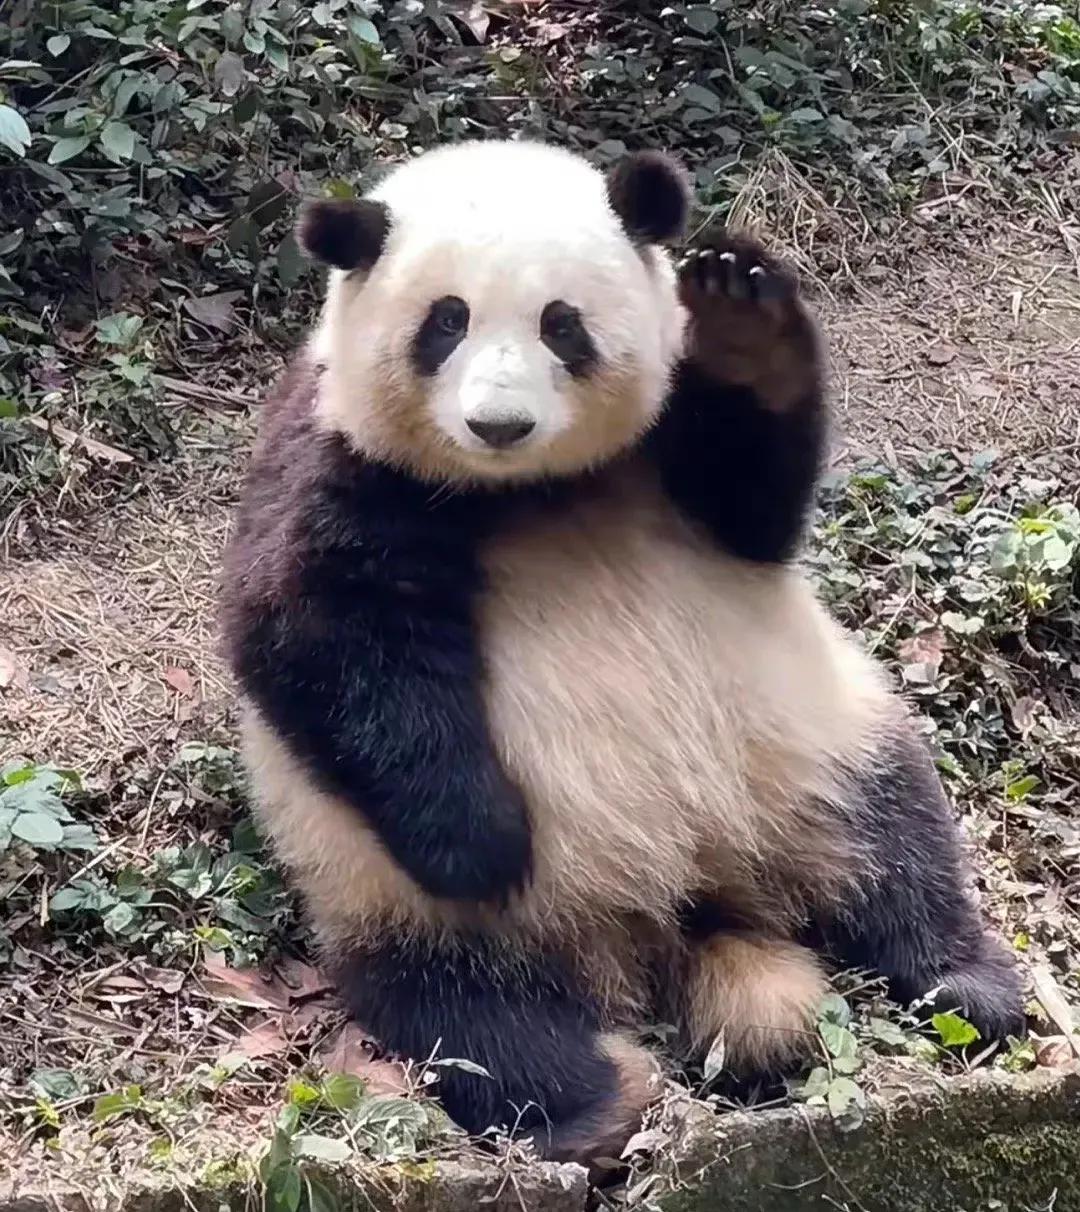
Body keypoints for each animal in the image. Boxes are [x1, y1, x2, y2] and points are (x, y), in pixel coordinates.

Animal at [222, 140, 1024, 1166]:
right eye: (446, 321)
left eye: (561, 324)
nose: (498, 424)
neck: (524, 489)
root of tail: (673, 917)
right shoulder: (335, 452)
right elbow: (306, 627)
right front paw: (481, 840)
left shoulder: (669, 457)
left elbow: (756, 508)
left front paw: (740, 311)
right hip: (378, 880)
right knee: (462, 1004)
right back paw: (595, 1101)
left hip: (804, 744)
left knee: (896, 839)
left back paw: (964, 982)